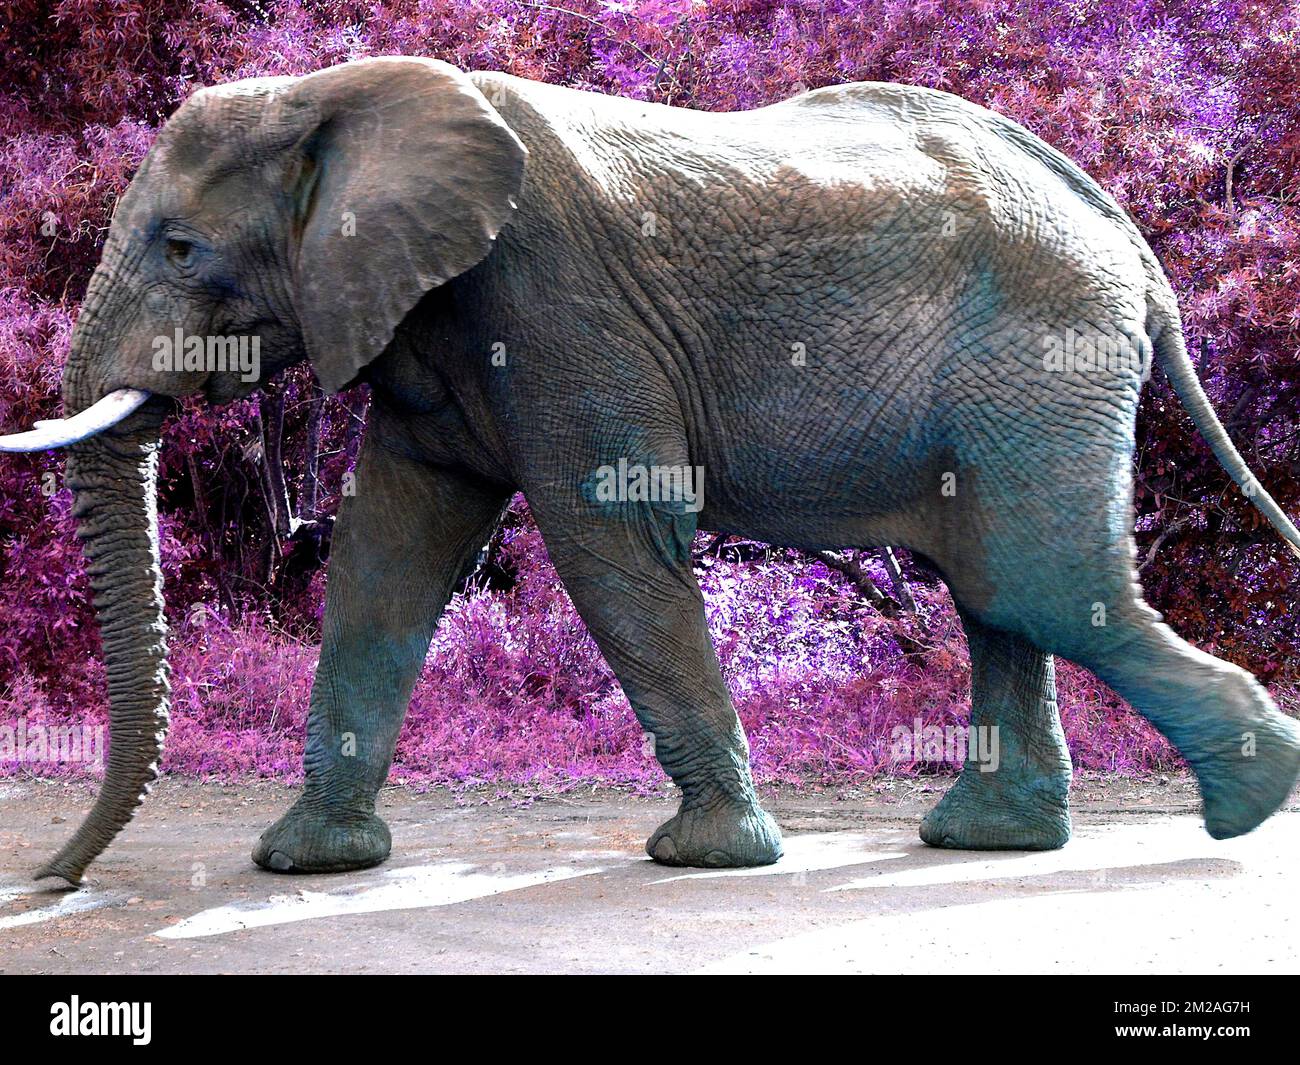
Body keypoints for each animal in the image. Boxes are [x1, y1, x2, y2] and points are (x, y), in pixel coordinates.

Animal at [3, 57, 1298, 885]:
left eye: (182, 251)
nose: (56, 881)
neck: (338, 92)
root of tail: (1127, 232)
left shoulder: (555, 299)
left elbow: (607, 538)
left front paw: (711, 858)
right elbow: (386, 555)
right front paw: (305, 864)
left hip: (1038, 358)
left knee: (1030, 579)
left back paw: (1247, 805)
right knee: (999, 590)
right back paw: (990, 841)